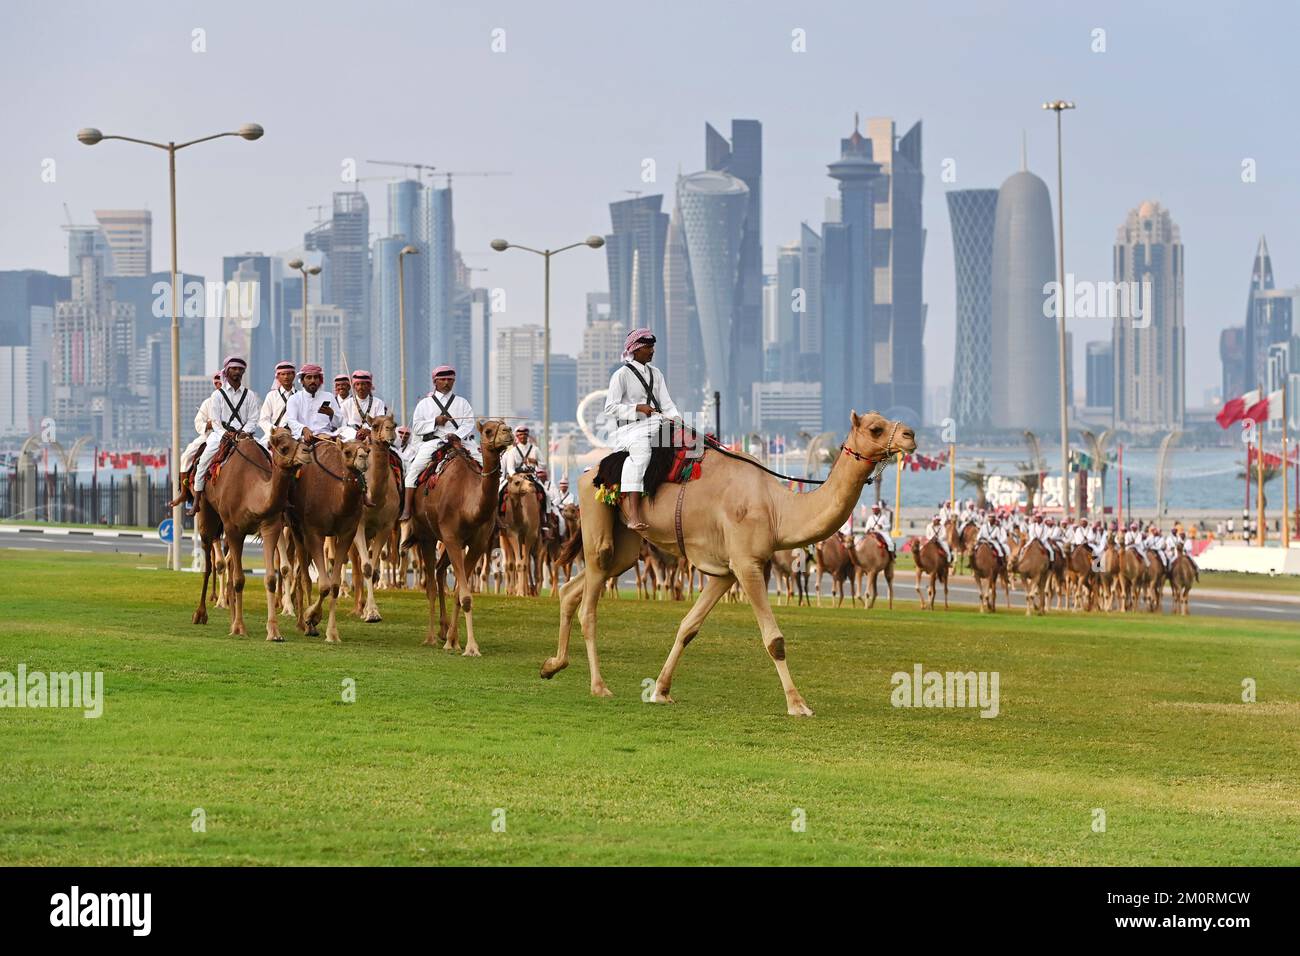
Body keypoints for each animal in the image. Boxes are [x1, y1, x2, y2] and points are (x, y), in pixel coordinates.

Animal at [191, 428, 310, 640]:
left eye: (297, 439)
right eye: (284, 447)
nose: (306, 451)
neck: (251, 491)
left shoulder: (270, 526)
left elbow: (270, 578)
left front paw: (274, 631)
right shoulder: (233, 529)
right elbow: (239, 579)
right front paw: (240, 628)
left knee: (229, 566)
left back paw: (230, 619)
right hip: (206, 512)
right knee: (208, 562)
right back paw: (201, 614)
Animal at [286, 437, 371, 642]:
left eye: (368, 450)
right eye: (347, 452)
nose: (363, 458)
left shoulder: (347, 533)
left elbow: (334, 585)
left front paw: (332, 633)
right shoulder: (314, 532)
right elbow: (323, 585)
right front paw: (311, 617)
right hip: (296, 529)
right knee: (305, 577)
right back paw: (304, 625)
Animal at [349, 415, 401, 623]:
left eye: (394, 424)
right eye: (375, 425)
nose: (390, 432)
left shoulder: (385, 527)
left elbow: (373, 565)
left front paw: (371, 611)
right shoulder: (358, 525)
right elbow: (366, 567)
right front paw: (369, 612)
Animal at [405, 421, 513, 655]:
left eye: (505, 426)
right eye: (488, 430)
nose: (508, 432)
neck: (467, 503)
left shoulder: (477, 544)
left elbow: (460, 594)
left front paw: (454, 641)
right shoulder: (452, 538)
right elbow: (464, 595)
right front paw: (471, 647)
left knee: (439, 571)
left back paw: (443, 630)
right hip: (427, 535)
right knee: (430, 584)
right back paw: (430, 637)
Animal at [541, 410, 915, 716]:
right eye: (876, 428)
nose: (910, 435)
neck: (777, 509)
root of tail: (587, 473)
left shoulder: (725, 571)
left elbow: (688, 627)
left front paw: (661, 691)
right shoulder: (748, 563)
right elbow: (774, 640)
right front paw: (798, 704)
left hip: (627, 543)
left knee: (574, 588)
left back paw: (552, 665)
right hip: (596, 515)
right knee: (589, 603)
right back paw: (599, 686)